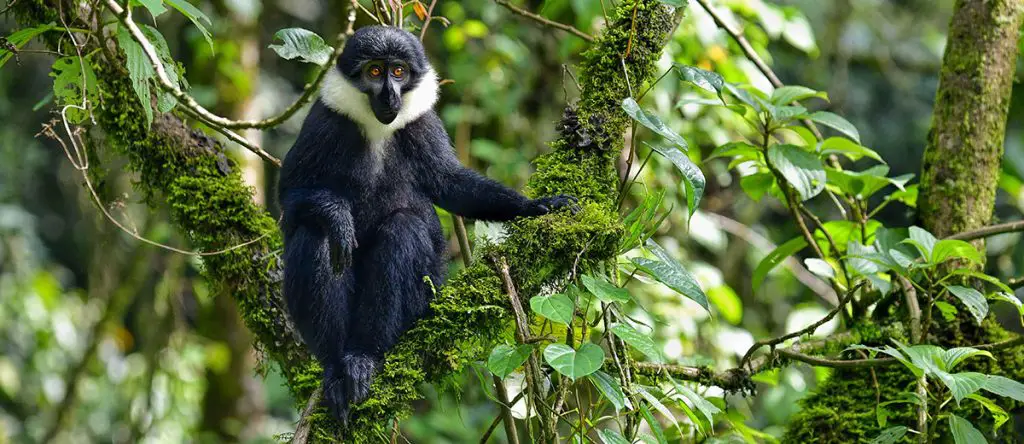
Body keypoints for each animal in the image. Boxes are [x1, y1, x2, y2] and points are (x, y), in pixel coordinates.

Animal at [278, 25, 577, 423]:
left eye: (399, 72)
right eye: (375, 71)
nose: (390, 94)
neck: (376, 126)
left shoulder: (423, 125)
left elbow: (451, 185)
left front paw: (538, 206)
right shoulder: (322, 124)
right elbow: (290, 196)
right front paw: (336, 213)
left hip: (426, 293)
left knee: (405, 228)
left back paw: (364, 357)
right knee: (315, 233)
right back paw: (337, 369)